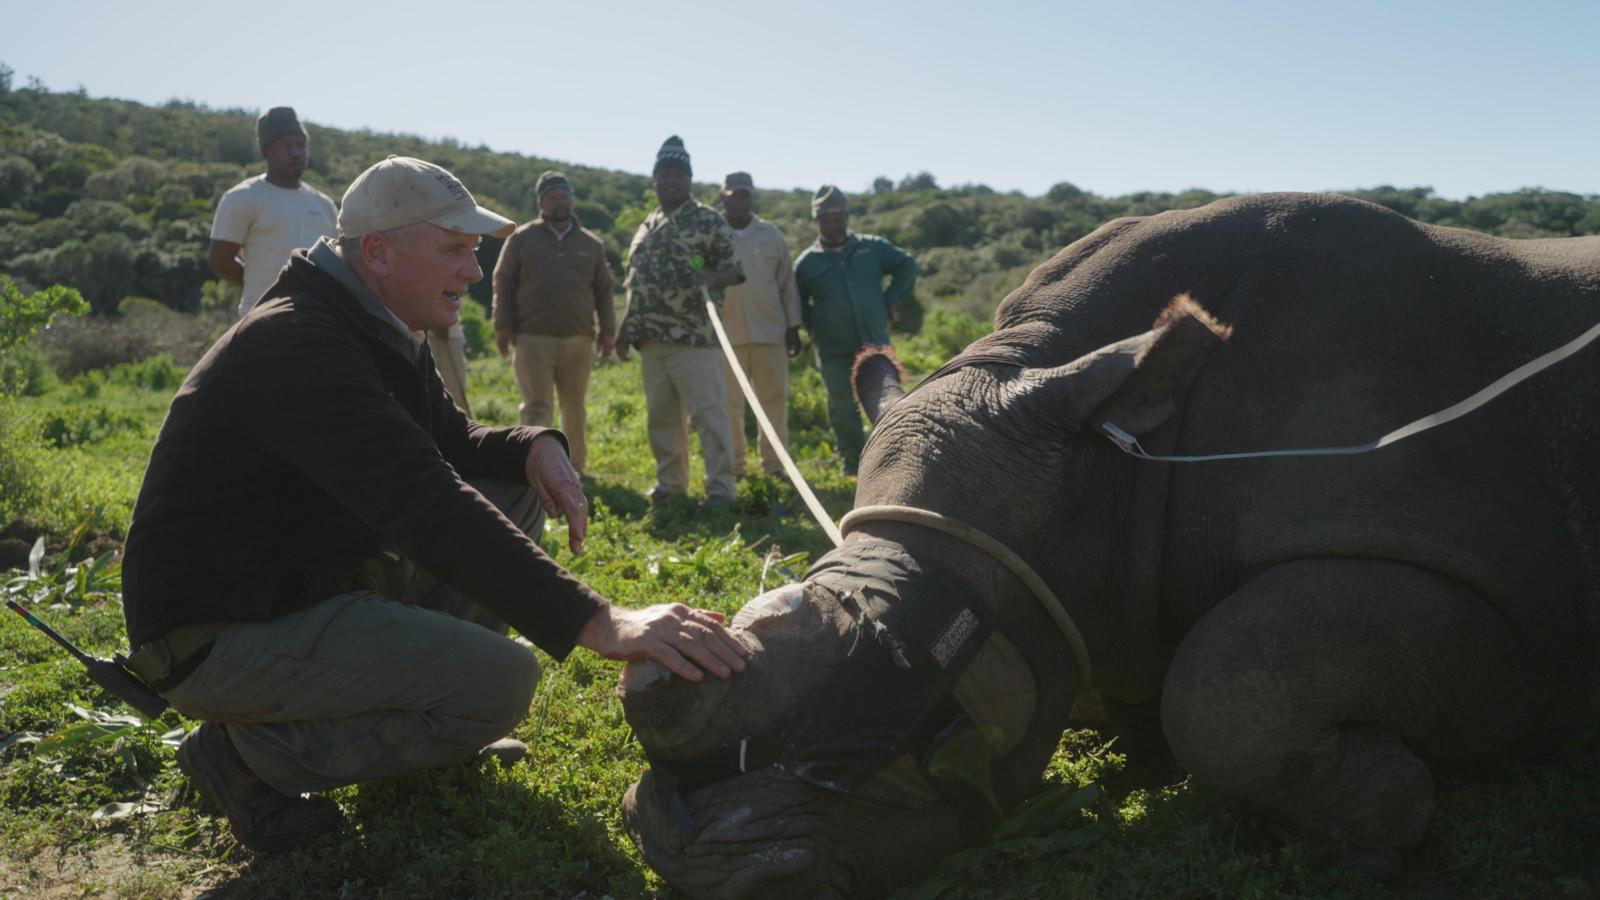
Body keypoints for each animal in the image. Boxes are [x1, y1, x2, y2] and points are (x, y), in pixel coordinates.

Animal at [618, 192, 1600, 898]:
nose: (694, 870)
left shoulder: (1513, 607)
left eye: (899, 720)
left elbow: (1225, 680)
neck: (1111, 470)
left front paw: (1379, 826)